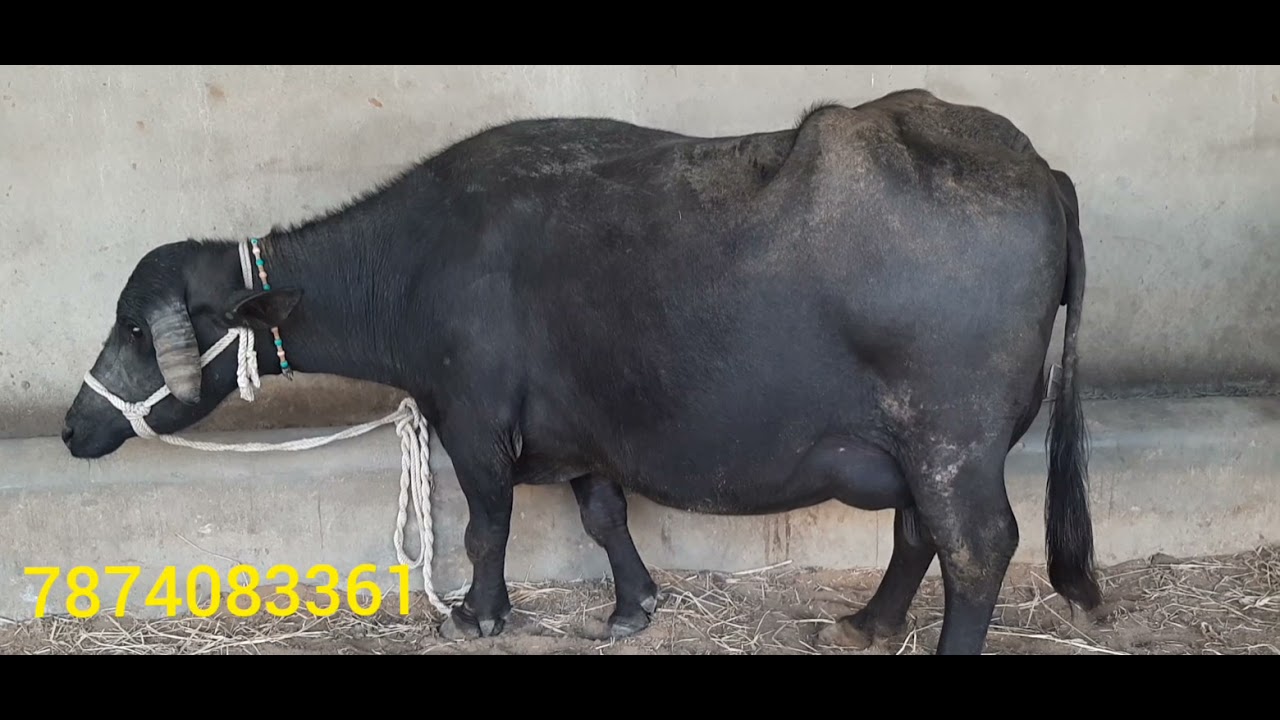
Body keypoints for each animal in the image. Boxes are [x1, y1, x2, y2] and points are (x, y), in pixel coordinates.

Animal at [62, 88, 1102, 654]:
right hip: (919, 447)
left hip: (953, 442)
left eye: (133, 327)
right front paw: (634, 607)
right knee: (920, 533)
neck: (419, 263)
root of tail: (1040, 170)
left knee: (976, 547)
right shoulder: (582, 430)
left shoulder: (474, 426)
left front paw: (478, 614)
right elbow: (603, 515)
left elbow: (485, 528)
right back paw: (868, 623)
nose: (76, 425)